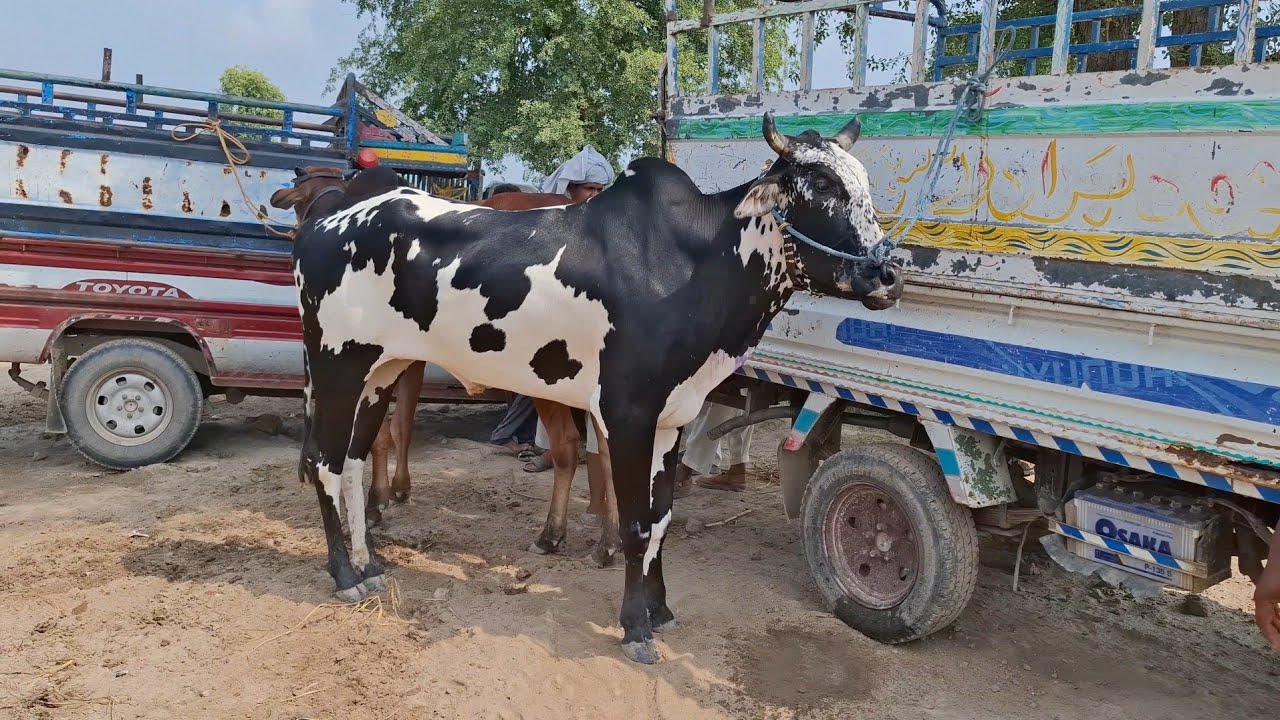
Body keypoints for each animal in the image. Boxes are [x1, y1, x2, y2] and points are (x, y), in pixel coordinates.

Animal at [271, 168, 620, 564]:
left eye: (300, 206)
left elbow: (382, 433)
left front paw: (378, 501)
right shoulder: (405, 361)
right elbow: (398, 428)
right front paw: (395, 491)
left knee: (567, 447)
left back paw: (553, 536)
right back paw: (607, 541)